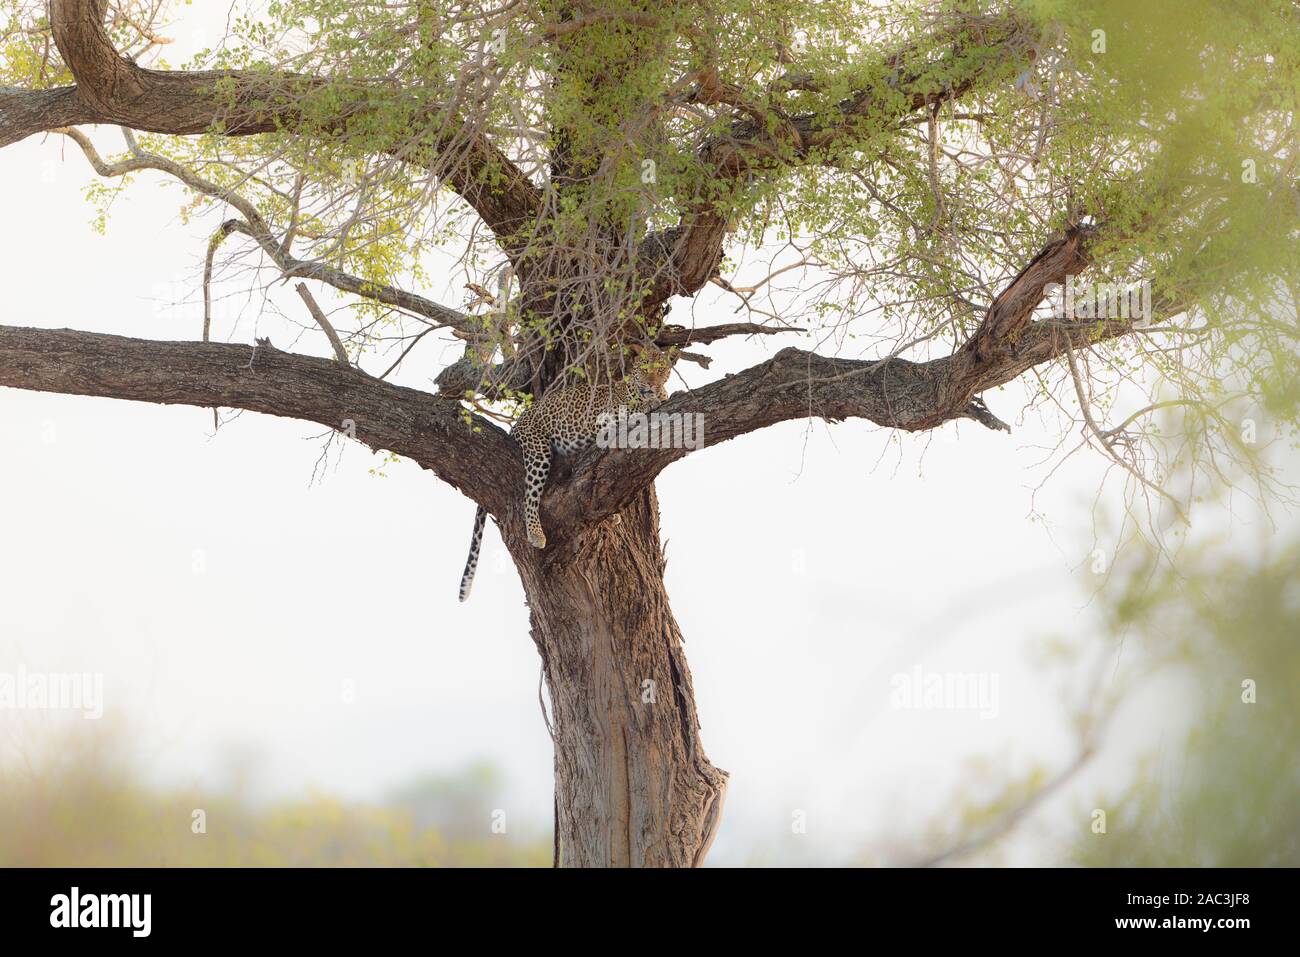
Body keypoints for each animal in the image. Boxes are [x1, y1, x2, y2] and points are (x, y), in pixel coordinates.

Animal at [458, 346, 672, 602]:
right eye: (644, 368)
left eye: (661, 370)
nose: (651, 385)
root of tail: (518, 423)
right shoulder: (604, 422)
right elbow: (633, 410)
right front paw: (650, 403)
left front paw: (660, 396)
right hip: (538, 449)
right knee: (530, 495)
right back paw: (536, 534)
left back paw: (611, 516)